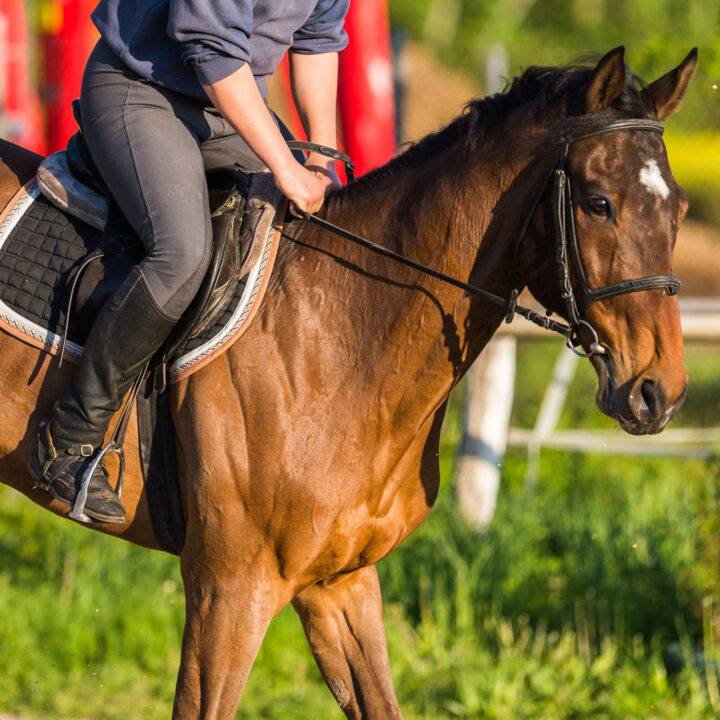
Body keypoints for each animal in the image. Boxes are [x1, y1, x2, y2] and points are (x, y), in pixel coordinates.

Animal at [0, 46, 696, 718]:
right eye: (599, 202)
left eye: (680, 208)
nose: (658, 392)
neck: (337, 332)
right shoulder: (229, 589)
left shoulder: (339, 583)